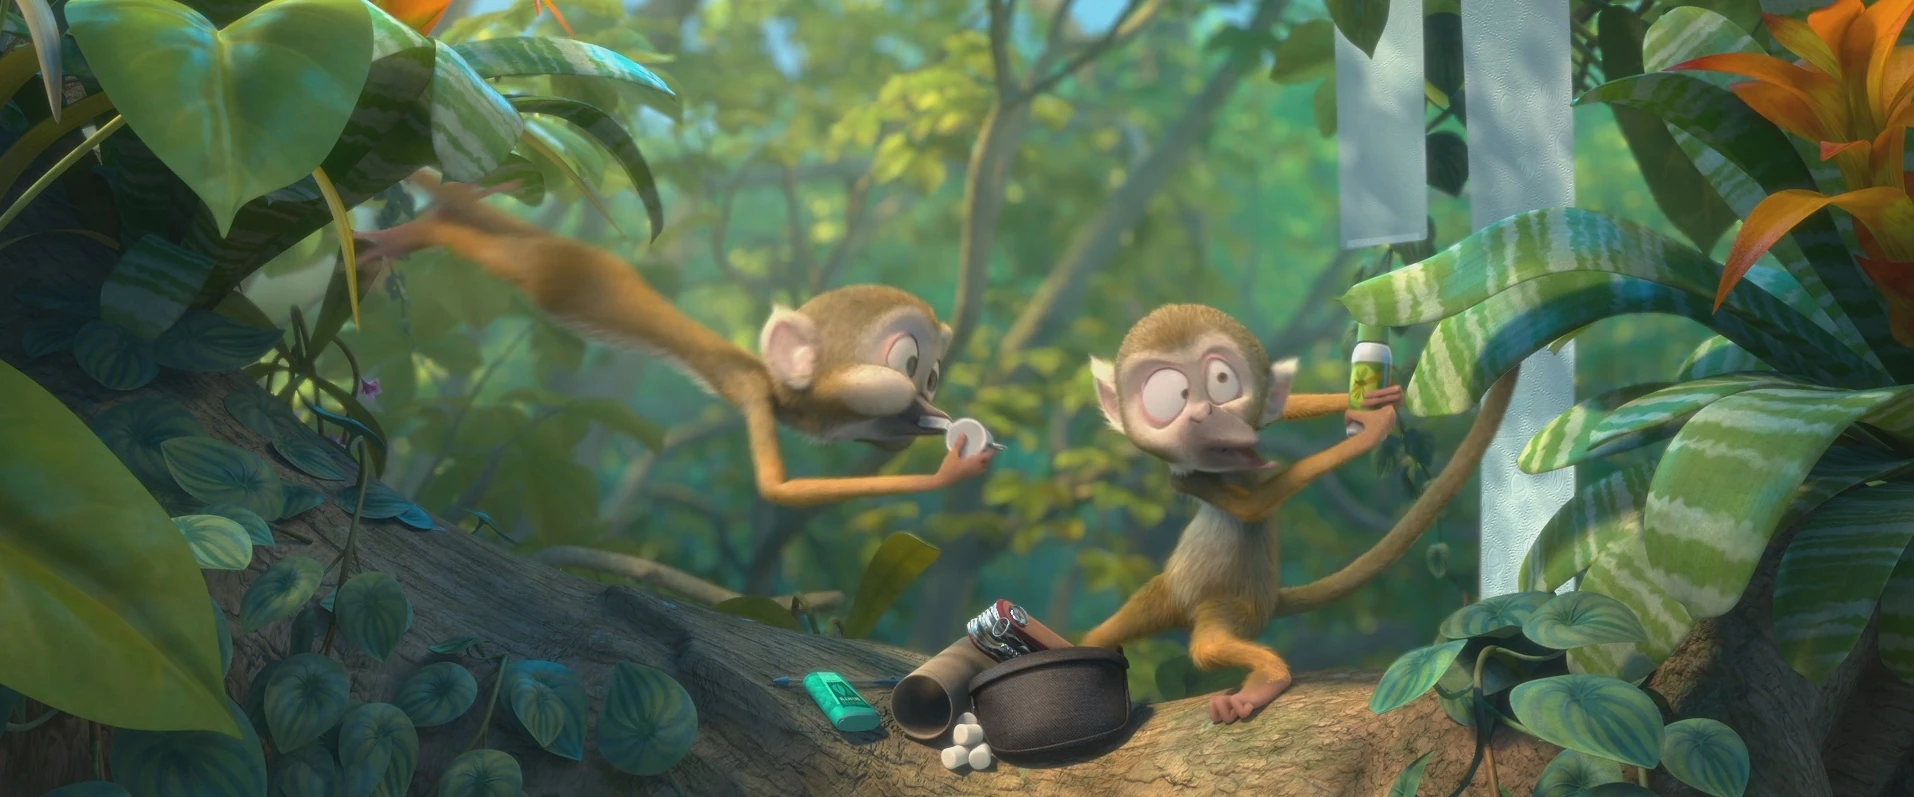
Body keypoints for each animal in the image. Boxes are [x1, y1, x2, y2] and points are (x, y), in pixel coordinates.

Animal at [353, 178, 998, 508]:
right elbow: (780, 490)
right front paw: (954, 471)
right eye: (908, 363)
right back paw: (423, 222)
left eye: (932, 376)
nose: (931, 404)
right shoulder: (756, 397)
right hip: (548, 271)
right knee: (484, 241)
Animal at [1079, 303, 1517, 723]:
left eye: (1222, 380)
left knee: (1204, 645)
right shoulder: (1185, 477)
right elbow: (1250, 506)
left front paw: (1368, 404)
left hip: (1230, 606)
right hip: (1185, 593)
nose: (1203, 416)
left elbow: (1279, 416)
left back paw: (1264, 681)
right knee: (1129, 638)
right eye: (1170, 396)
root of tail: (1270, 600)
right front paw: (1369, 431)